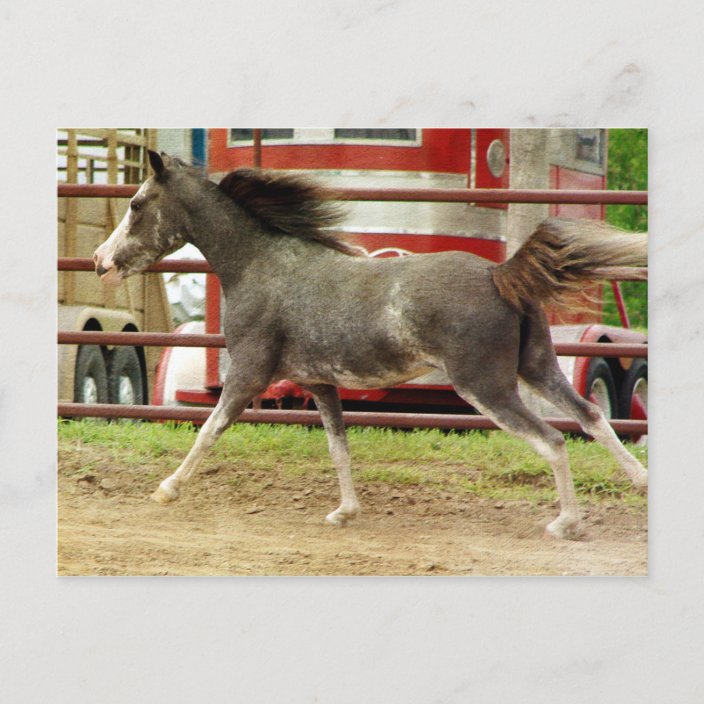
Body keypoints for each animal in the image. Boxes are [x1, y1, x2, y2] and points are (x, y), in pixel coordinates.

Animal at [93, 151, 648, 540]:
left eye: (136, 204)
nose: (100, 261)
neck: (259, 266)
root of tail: (499, 274)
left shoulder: (248, 375)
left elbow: (208, 431)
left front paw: (166, 490)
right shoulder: (321, 384)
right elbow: (338, 448)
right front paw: (344, 512)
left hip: (486, 387)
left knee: (553, 440)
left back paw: (566, 524)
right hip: (537, 368)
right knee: (591, 417)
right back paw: (640, 482)